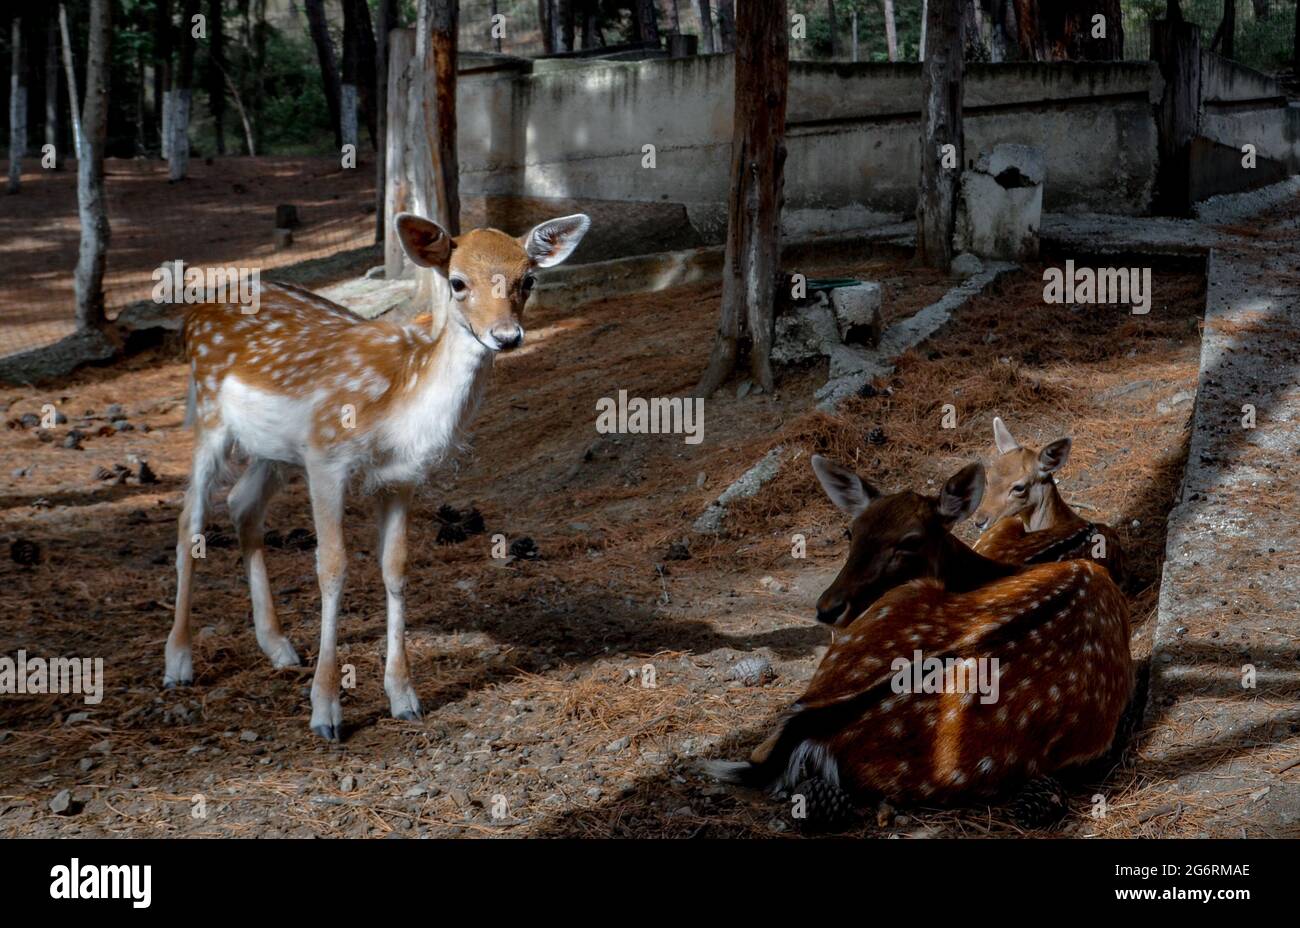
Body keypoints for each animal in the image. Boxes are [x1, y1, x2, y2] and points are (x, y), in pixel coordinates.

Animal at [165, 210, 591, 741]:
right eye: (457, 282)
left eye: (527, 280)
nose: (506, 335)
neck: (401, 406)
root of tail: (195, 313)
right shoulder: (326, 456)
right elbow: (332, 566)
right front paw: (326, 711)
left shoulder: (400, 477)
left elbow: (395, 567)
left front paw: (404, 697)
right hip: (211, 417)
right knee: (190, 519)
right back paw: (178, 662)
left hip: (276, 450)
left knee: (242, 504)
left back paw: (279, 646)